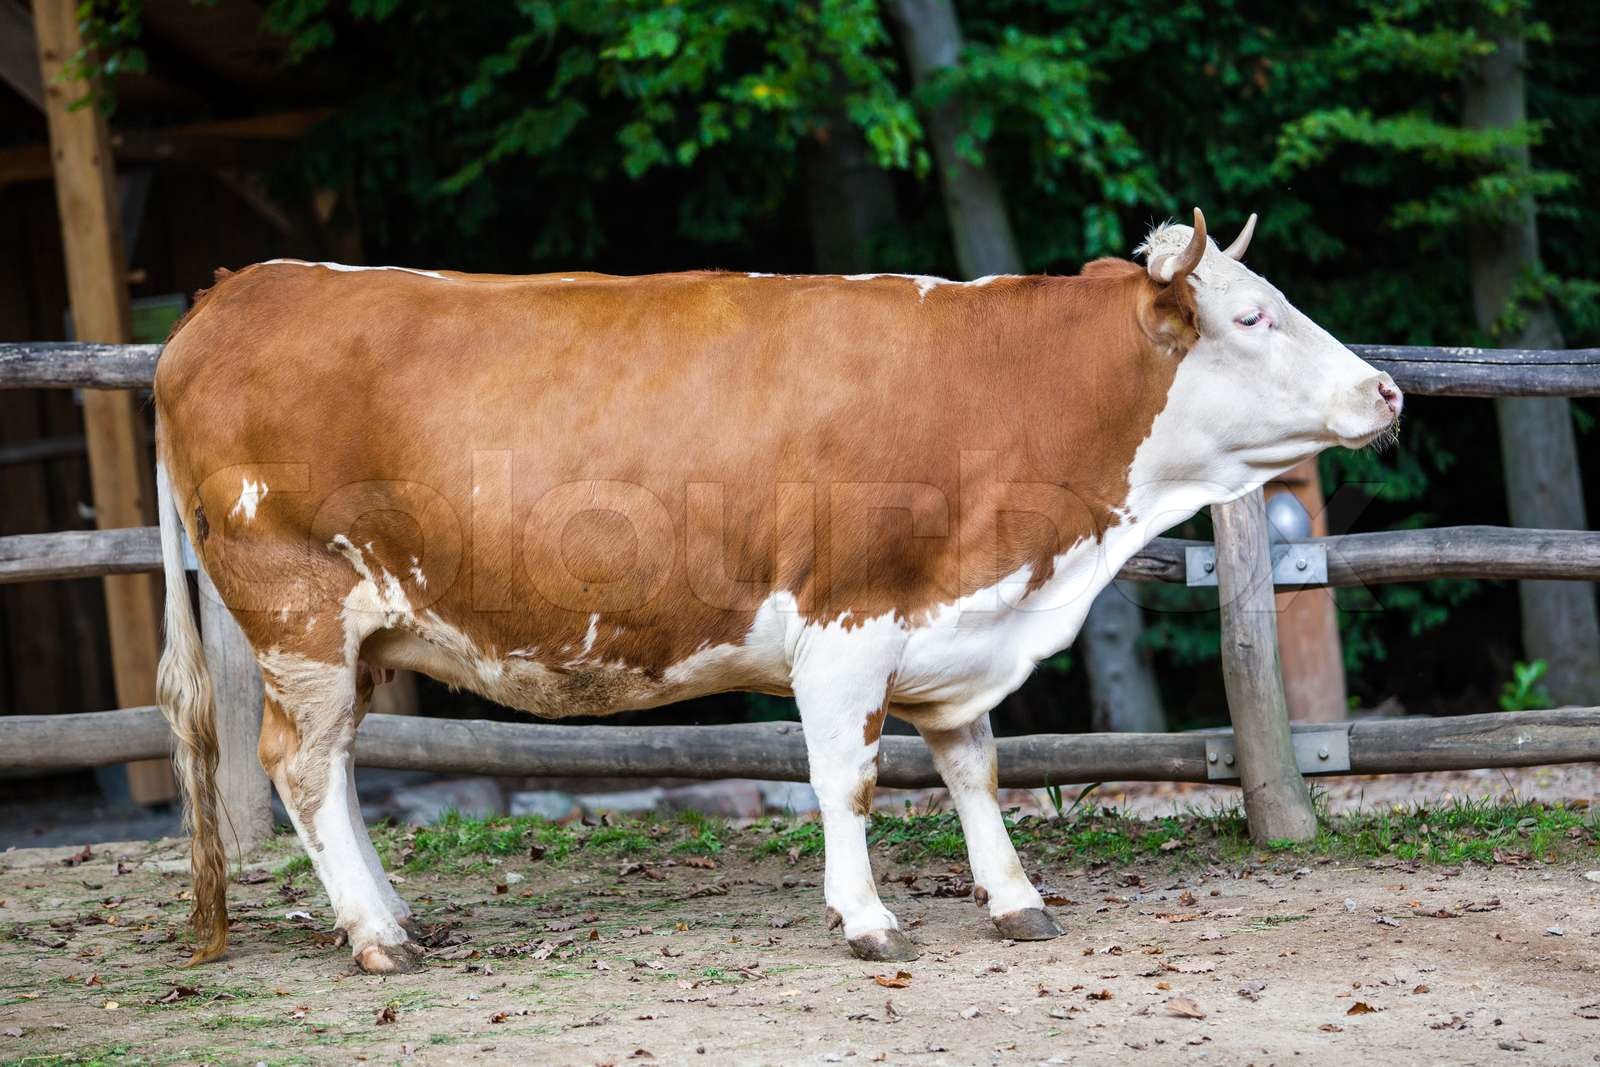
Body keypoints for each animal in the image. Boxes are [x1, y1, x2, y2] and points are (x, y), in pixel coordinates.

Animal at [152, 208, 1401, 973]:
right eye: (1253, 315)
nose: (1386, 389)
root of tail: (237, 287)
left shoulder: (953, 627)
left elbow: (973, 767)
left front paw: (1012, 896)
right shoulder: (846, 623)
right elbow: (847, 778)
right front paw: (866, 916)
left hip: (358, 635)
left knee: (339, 770)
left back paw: (392, 910)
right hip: (298, 612)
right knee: (301, 764)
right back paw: (377, 935)